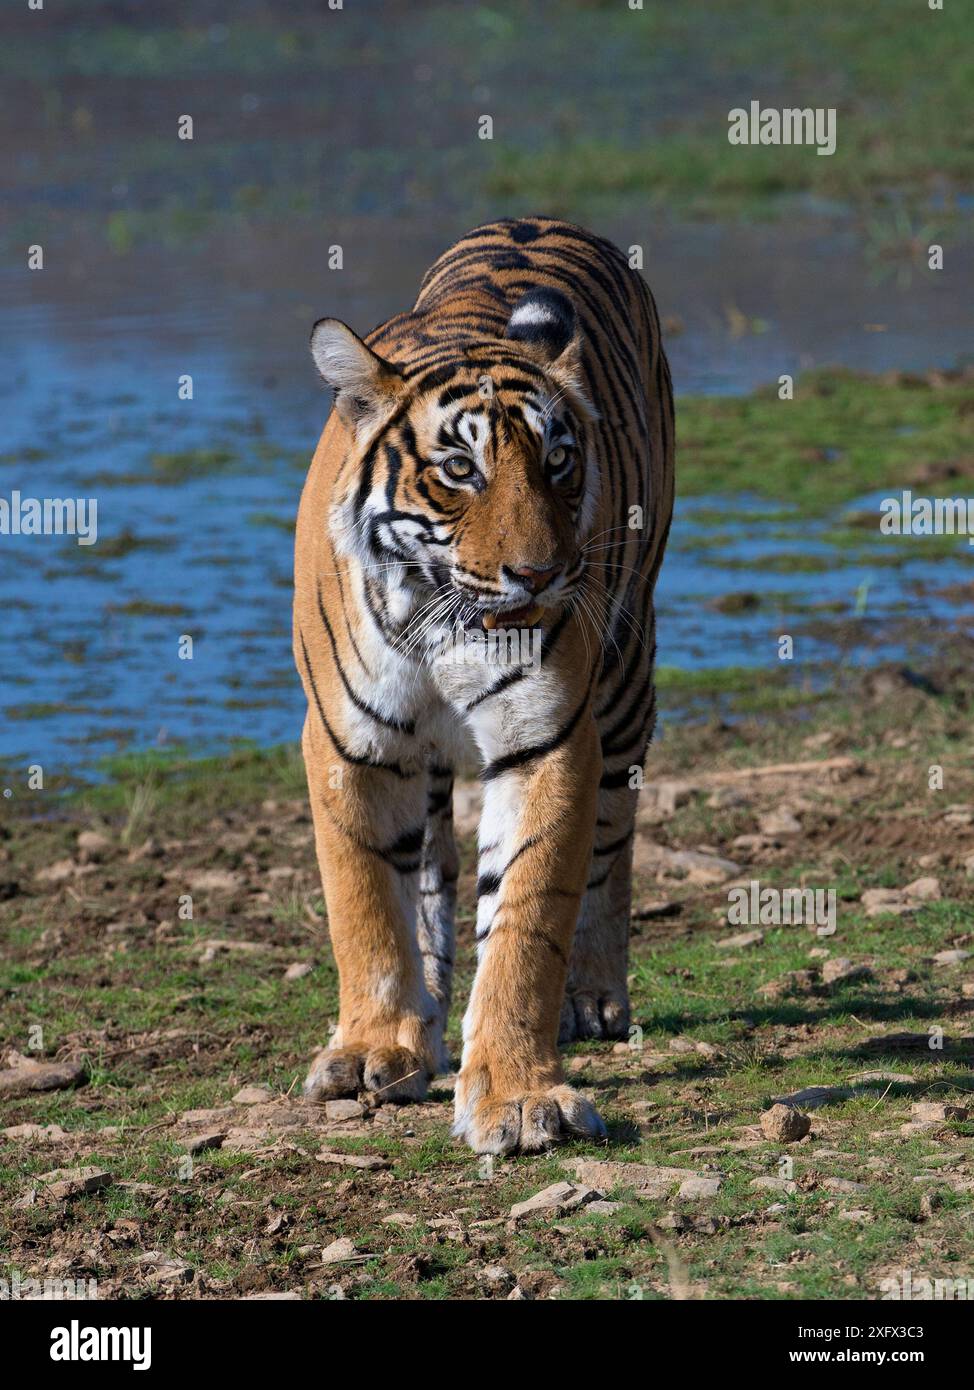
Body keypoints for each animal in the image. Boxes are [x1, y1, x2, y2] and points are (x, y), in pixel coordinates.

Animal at [293, 216, 674, 1154]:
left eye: (560, 462)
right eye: (461, 470)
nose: (539, 574)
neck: (442, 614)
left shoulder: (550, 740)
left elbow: (527, 921)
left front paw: (519, 1096)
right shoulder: (349, 742)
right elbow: (366, 901)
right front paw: (372, 1049)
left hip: (626, 677)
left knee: (614, 839)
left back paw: (595, 994)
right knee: (430, 866)